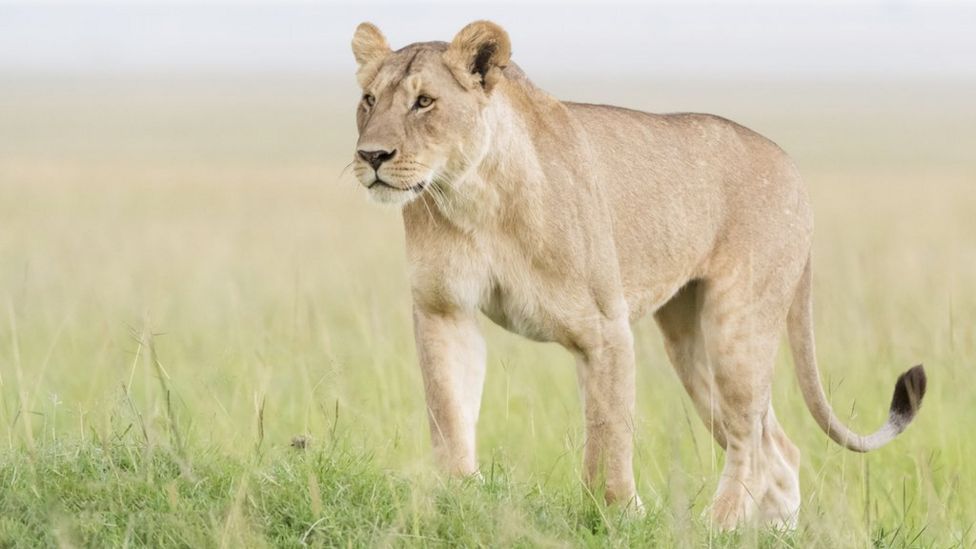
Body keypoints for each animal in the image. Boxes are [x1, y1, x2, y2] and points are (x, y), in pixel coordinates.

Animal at [348, 20, 927, 530]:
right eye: (370, 100)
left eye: (424, 102)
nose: (371, 155)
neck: (471, 196)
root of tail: (793, 167)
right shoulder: (444, 310)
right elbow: (449, 414)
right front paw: (459, 499)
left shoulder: (605, 329)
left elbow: (608, 436)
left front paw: (619, 516)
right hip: (689, 342)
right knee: (778, 448)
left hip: (737, 325)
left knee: (749, 439)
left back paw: (717, 526)